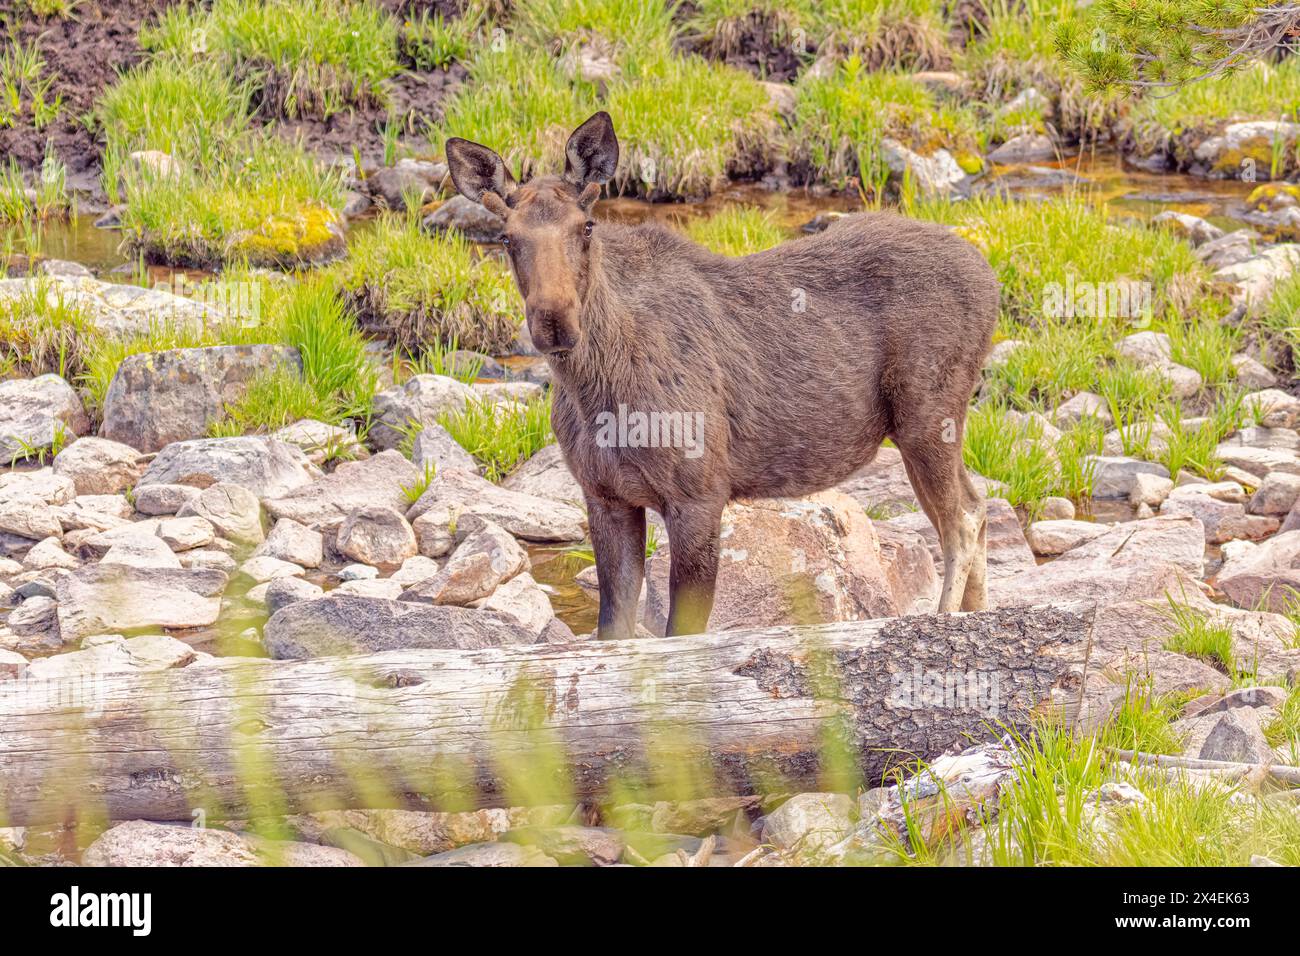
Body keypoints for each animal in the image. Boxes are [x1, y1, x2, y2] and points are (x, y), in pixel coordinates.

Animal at [445, 112, 1000, 641]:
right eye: (506, 237)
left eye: (586, 227)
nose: (554, 320)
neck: (595, 392)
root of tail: (990, 276)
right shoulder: (605, 496)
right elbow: (613, 630)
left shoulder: (699, 493)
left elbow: (682, 634)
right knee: (976, 506)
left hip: (927, 415)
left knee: (962, 519)